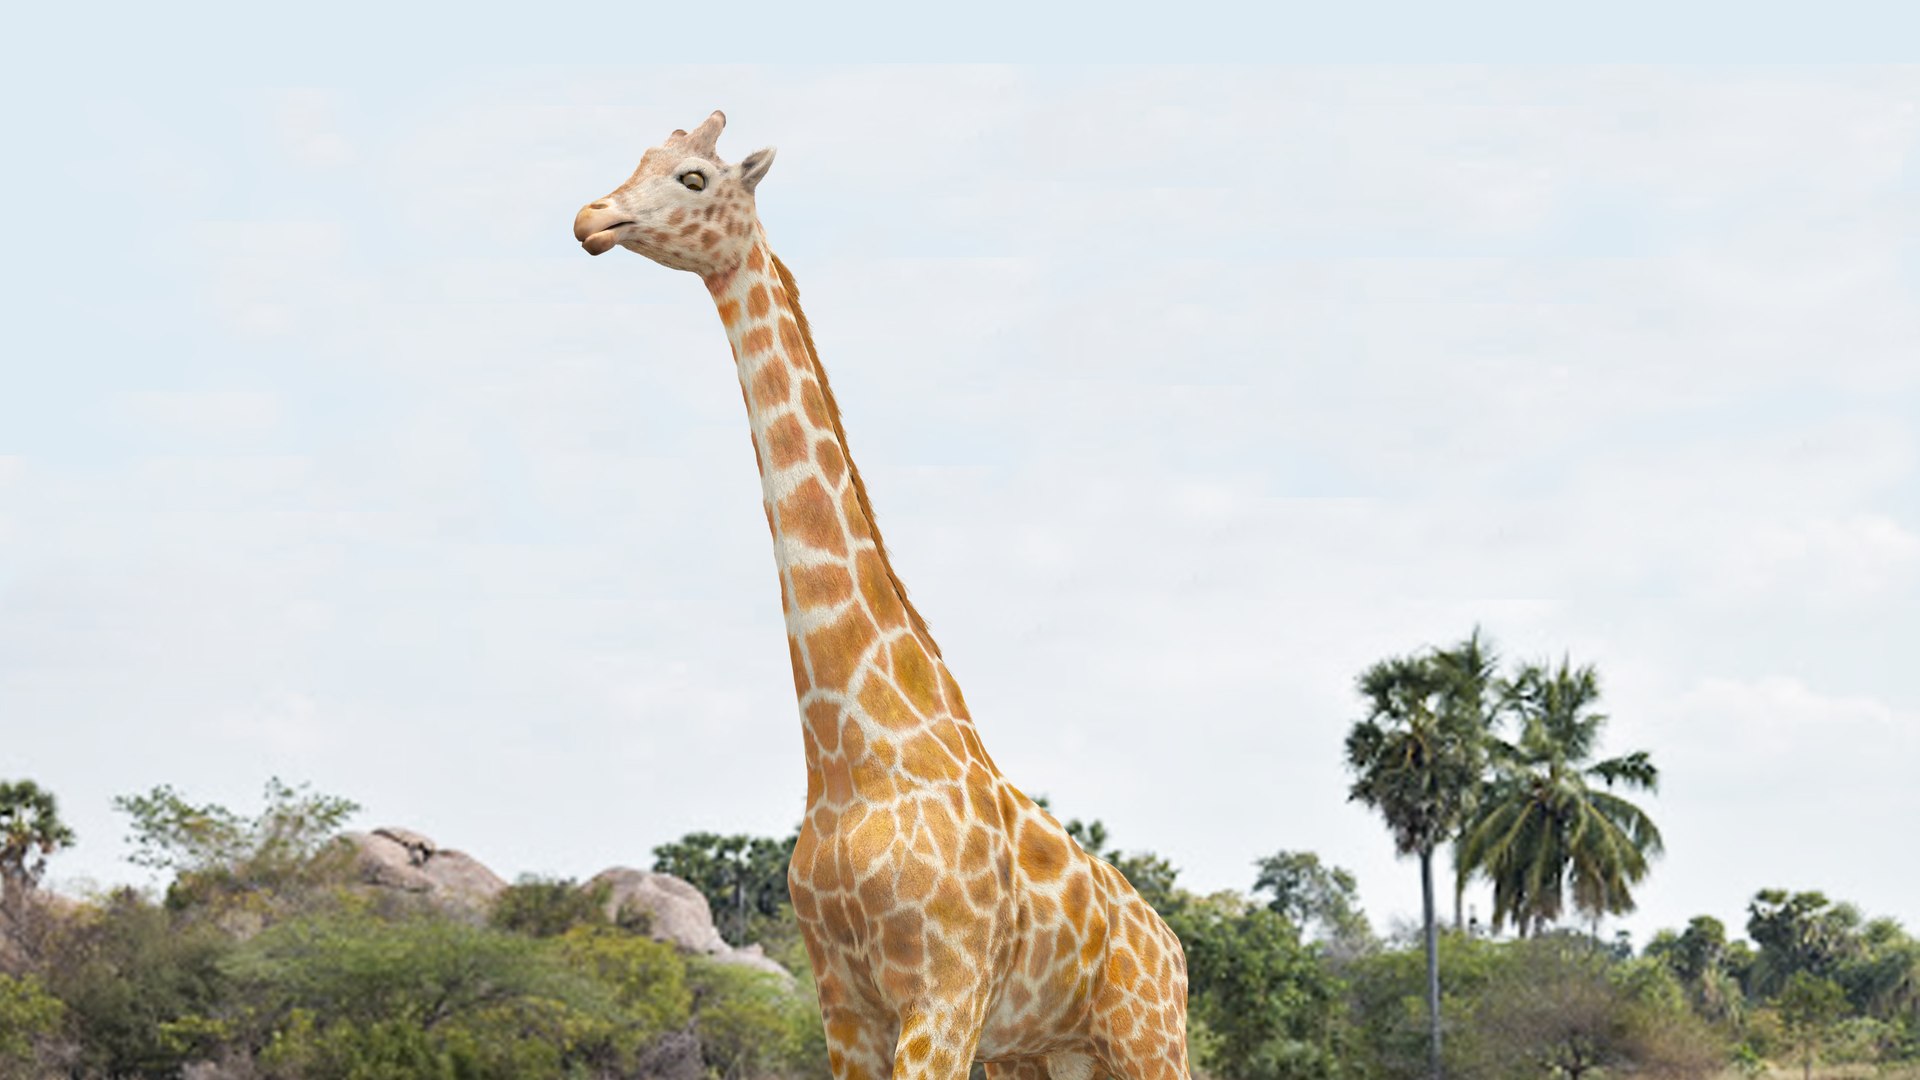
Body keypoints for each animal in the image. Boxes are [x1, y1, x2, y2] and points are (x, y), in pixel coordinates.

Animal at [573, 111, 1189, 1080]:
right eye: (638, 160)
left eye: (696, 178)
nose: (591, 219)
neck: (848, 756)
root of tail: (1174, 949)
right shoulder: (845, 1000)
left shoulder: (943, 994)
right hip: (1047, 1051)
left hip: (1145, 1037)